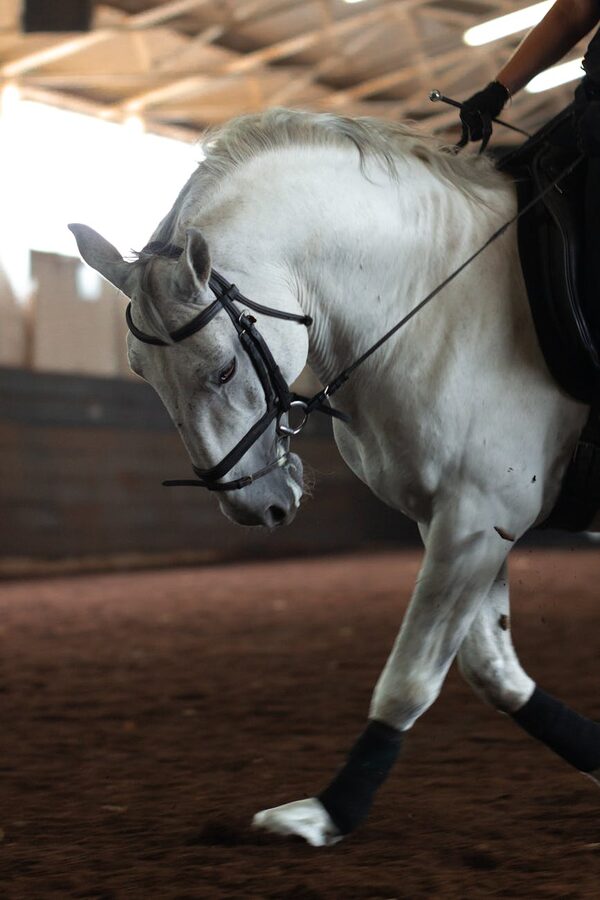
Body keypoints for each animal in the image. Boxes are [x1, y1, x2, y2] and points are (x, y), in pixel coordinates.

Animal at [69, 107, 600, 848]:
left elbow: (409, 680)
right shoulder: (465, 522)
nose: (256, 508)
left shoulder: (474, 518)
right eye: (141, 374)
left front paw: (327, 812)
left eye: (224, 369)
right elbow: (493, 671)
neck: (442, 300)